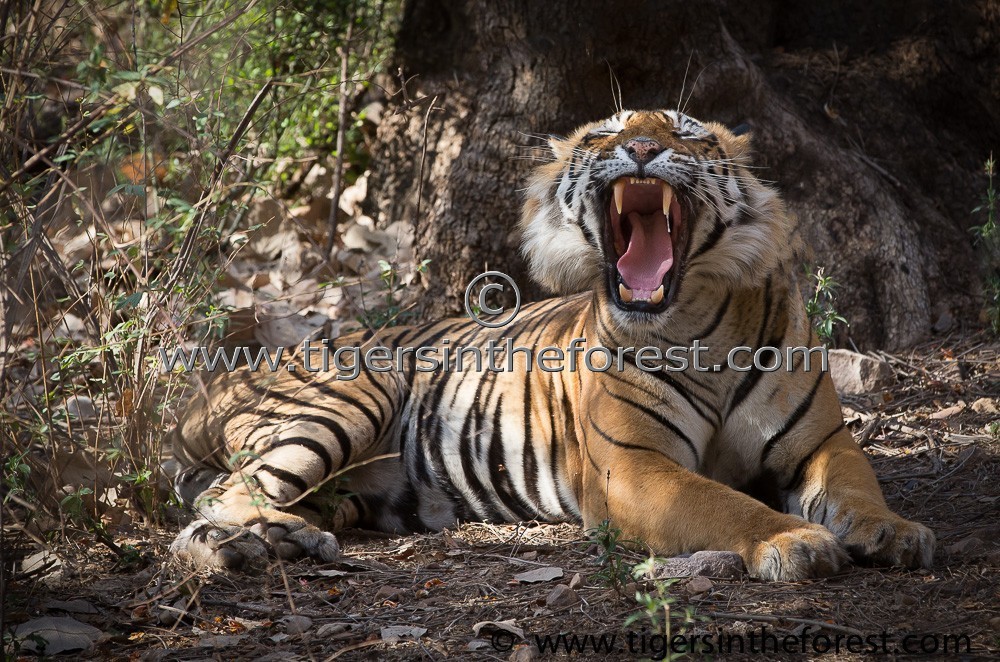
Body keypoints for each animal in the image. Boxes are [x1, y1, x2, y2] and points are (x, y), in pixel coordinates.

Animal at [165, 109, 935, 581]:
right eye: (605, 133)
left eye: (688, 133)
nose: (643, 149)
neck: (699, 323)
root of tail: (218, 383)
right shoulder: (633, 467)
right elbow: (723, 504)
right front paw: (793, 539)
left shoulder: (822, 441)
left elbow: (857, 486)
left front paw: (896, 532)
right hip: (345, 397)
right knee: (218, 501)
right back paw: (263, 542)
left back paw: (280, 541)